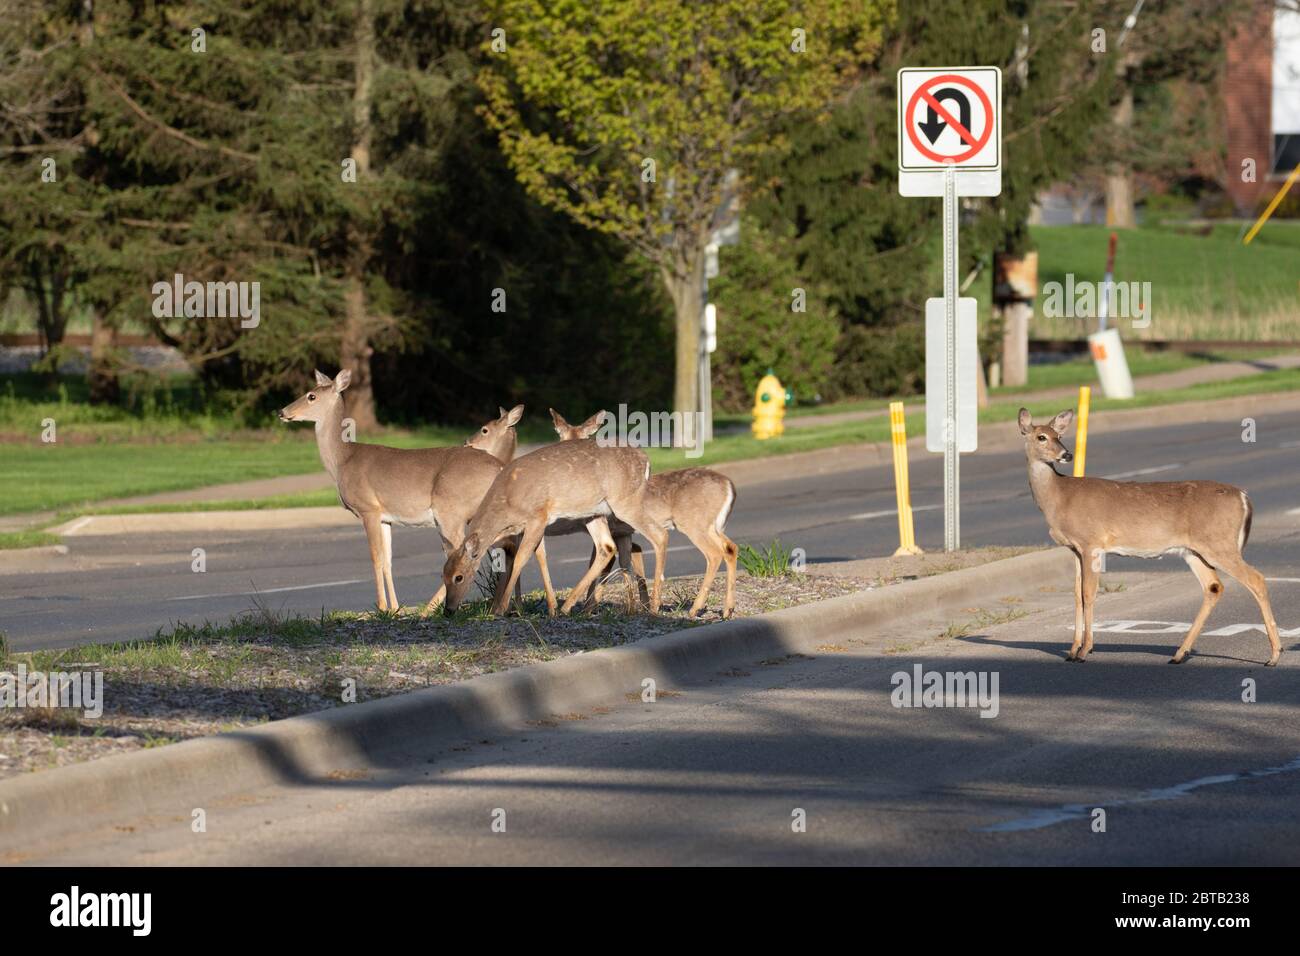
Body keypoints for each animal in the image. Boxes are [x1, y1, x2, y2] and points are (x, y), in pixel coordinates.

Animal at [278, 370, 521, 615]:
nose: (282, 412)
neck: (342, 460)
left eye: (311, 396)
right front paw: (395, 608)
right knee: (508, 545)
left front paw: (382, 607)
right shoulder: (385, 517)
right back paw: (504, 606)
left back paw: (440, 609)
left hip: (451, 511)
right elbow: (387, 560)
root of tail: (500, 467)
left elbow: (375, 558)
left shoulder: (368, 509)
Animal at [440, 439, 669, 617]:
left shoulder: (537, 516)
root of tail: (646, 459)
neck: (507, 502)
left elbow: (521, 558)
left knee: (659, 535)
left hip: (624, 502)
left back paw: (654, 606)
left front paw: (501, 608)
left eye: (459, 577)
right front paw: (549, 608)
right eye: (443, 575)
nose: (448, 610)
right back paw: (572, 606)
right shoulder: (530, 526)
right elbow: (539, 556)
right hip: (594, 513)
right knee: (607, 547)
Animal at [548, 409, 738, 619]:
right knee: (731, 548)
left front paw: (588, 609)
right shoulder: (623, 532)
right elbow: (623, 564)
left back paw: (694, 608)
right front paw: (633, 607)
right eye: (560, 437)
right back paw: (727, 609)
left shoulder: (613, 529)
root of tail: (729, 486)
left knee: (714, 554)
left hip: (694, 524)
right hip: (713, 526)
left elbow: (601, 565)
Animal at [1019, 407, 1281, 666]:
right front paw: (1072, 651)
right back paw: (1179, 654)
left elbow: (1088, 593)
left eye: (1059, 436)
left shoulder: (1091, 543)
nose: (1067, 455)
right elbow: (1076, 594)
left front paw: (1085, 651)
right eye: (1042, 436)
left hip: (1219, 544)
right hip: (1195, 551)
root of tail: (1244, 497)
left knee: (1256, 579)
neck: (1060, 498)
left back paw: (1274, 655)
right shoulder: (1075, 548)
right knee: (1213, 586)